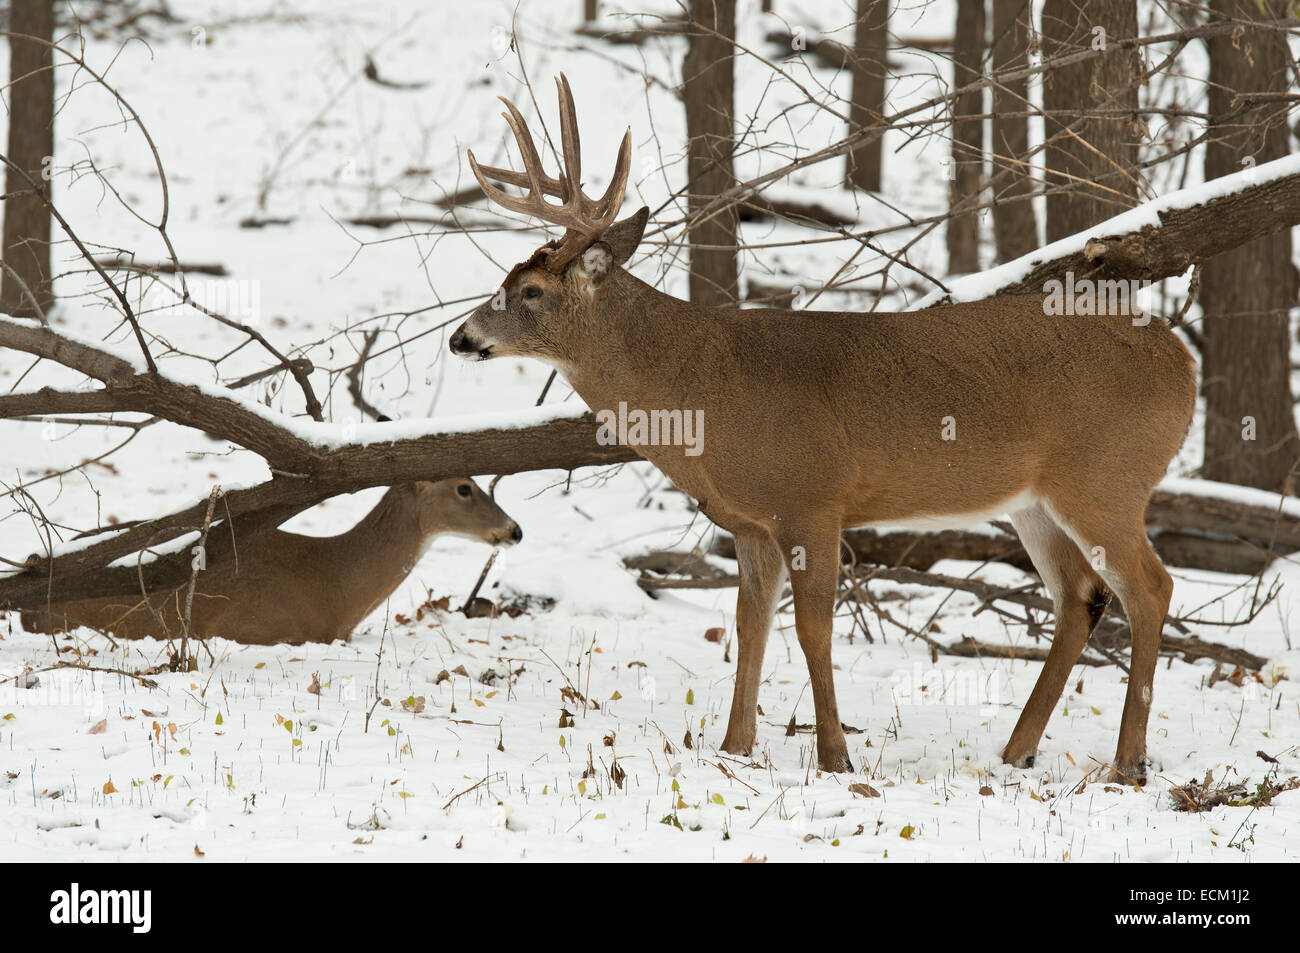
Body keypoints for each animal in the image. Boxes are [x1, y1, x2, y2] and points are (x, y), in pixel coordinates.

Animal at [448, 76, 1197, 783]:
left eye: (530, 291)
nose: (461, 337)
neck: (700, 390)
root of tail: (1185, 360)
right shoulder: (751, 520)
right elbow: (750, 625)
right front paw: (736, 746)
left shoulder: (812, 497)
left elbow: (812, 629)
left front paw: (836, 757)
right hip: (1034, 501)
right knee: (1081, 597)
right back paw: (1017, 751)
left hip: (1106, 478)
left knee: (1150, 587)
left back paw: (1128, 762)